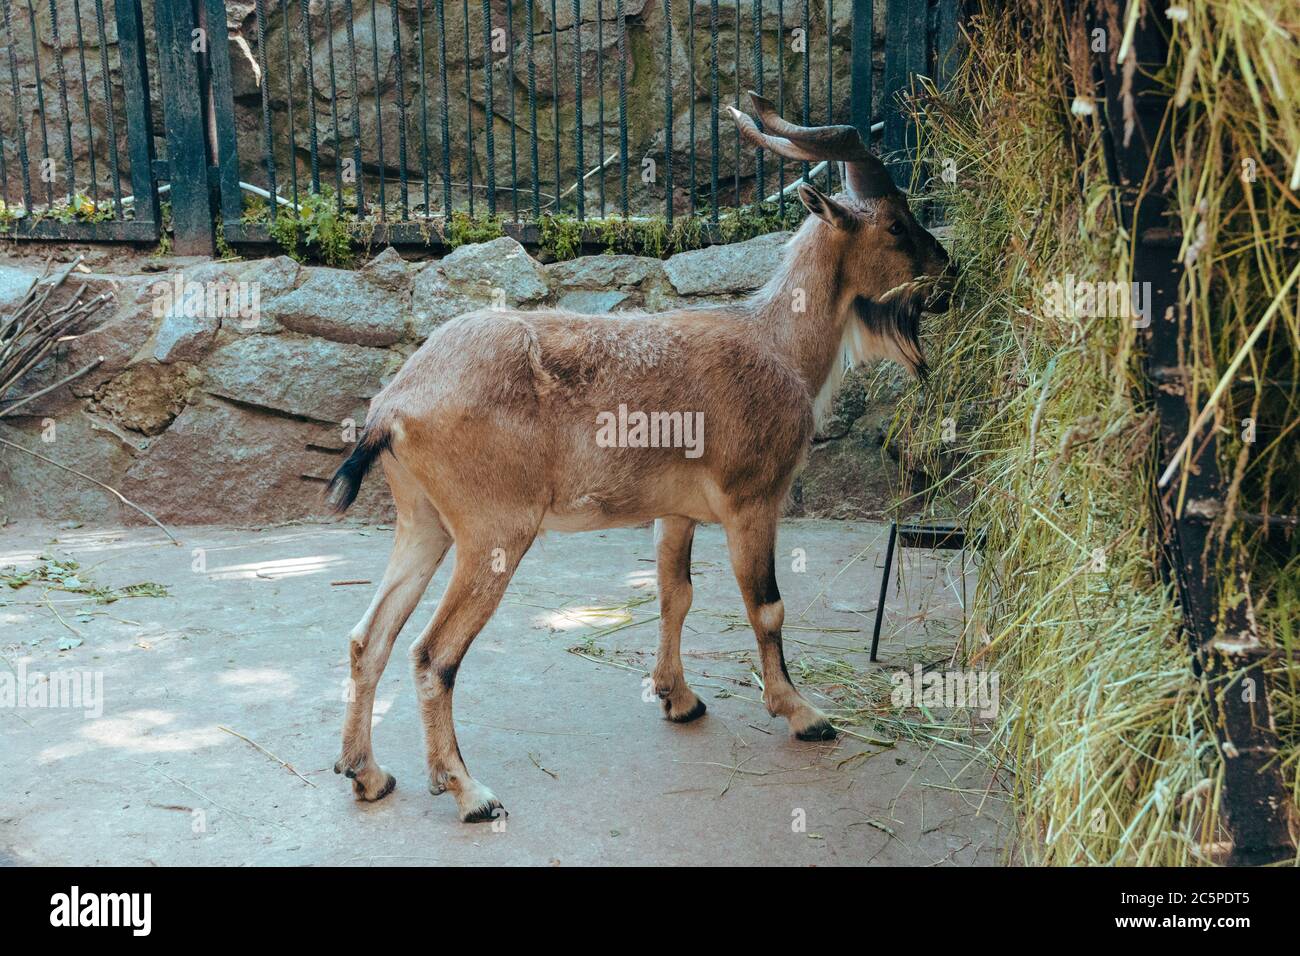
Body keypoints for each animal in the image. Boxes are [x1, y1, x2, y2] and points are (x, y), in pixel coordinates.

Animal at [327, 93, 954, 822]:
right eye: (896, 225)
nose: (949, 273)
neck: (779, 346)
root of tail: (392, 407)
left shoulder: (674, 514)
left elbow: (674, 594)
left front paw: (679, 699)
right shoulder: (751, 502)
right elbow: (767, 605)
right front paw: (803, 713)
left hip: (424, 524)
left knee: (368, 638)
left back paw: (368, 774)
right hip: (493, 532)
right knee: (432, 654)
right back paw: (469, 791)